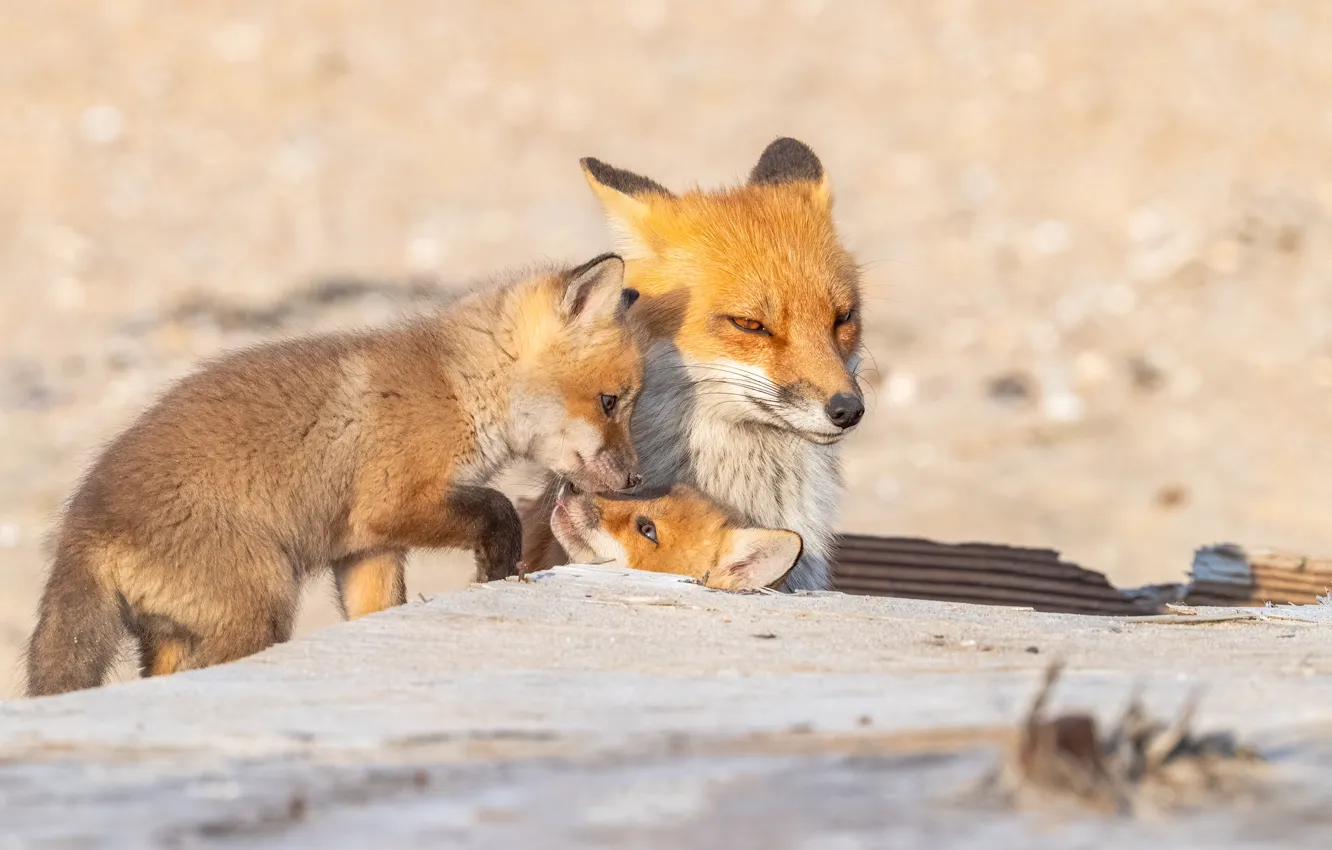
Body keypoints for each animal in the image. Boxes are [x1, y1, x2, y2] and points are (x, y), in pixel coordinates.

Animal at [24, 253, 644, 697]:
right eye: (610, 402)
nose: (637, 482)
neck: (458, 387)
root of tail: (81, 528)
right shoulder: (394, 506)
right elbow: (499, 507)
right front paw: (498, 566)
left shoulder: (366, 549)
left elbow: (379, 611)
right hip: (262, 604)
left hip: (179, 634)